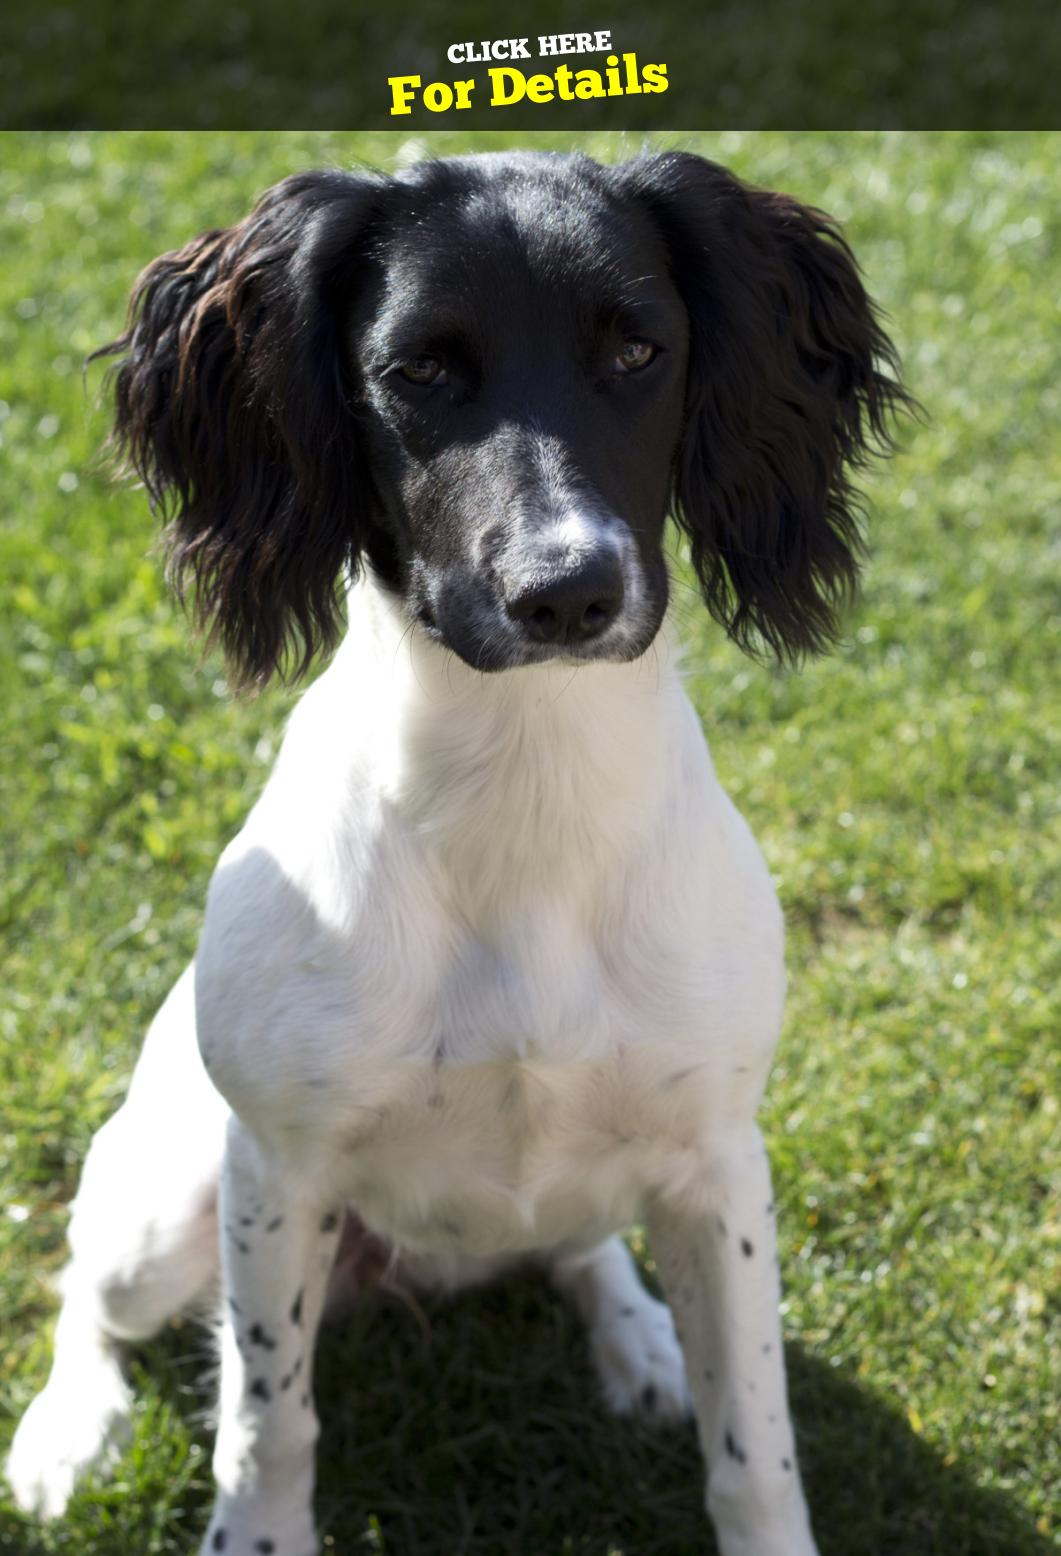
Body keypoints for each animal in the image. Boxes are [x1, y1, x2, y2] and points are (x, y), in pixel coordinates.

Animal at [6, 148, 902, 1556]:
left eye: (637, 348)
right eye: (420, 370)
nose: (567, 590)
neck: (521, 796)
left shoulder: (719, 1163)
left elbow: (754, 1442)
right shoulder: (276, 1169)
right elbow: (266, 1419)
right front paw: (253, 1528)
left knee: (585, 1249)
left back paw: (641, 1335)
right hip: (165, 1206)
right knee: (92, 1298)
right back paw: (64, 1432)